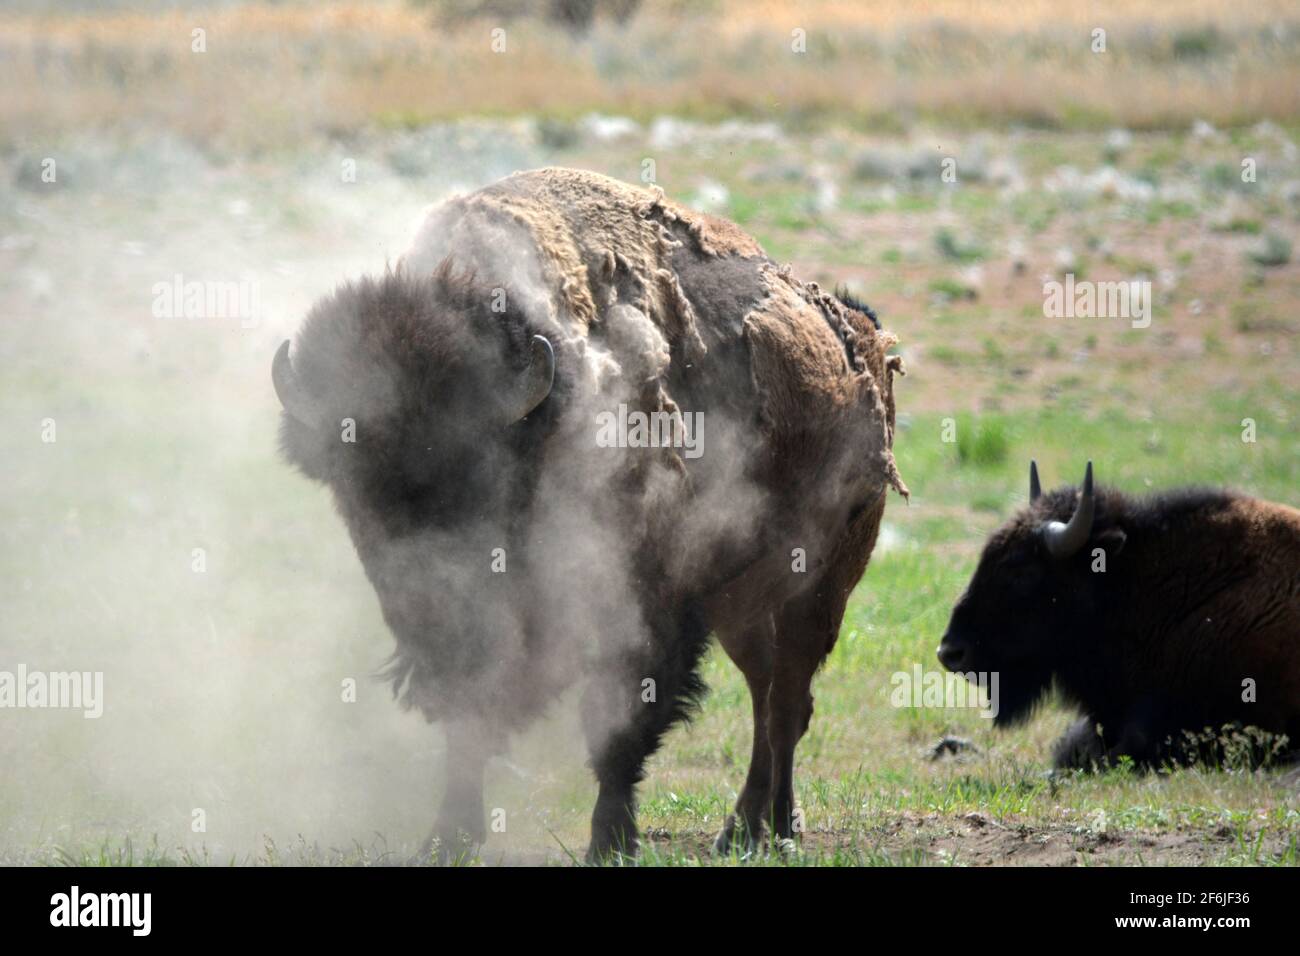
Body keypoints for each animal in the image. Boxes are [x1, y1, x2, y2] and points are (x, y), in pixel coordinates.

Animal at [272, 167, 907, 859]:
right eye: (353, 489)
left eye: (479, 472)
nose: (428, 608)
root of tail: (864, 340)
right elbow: (471, 722)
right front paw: (449, 838)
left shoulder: (646, 612)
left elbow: (618, 725)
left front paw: (610, 840)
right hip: (739, 605)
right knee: (766, 694)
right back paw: (739, 830)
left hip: (819, 586)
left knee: (789, 701)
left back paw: (782, 830)